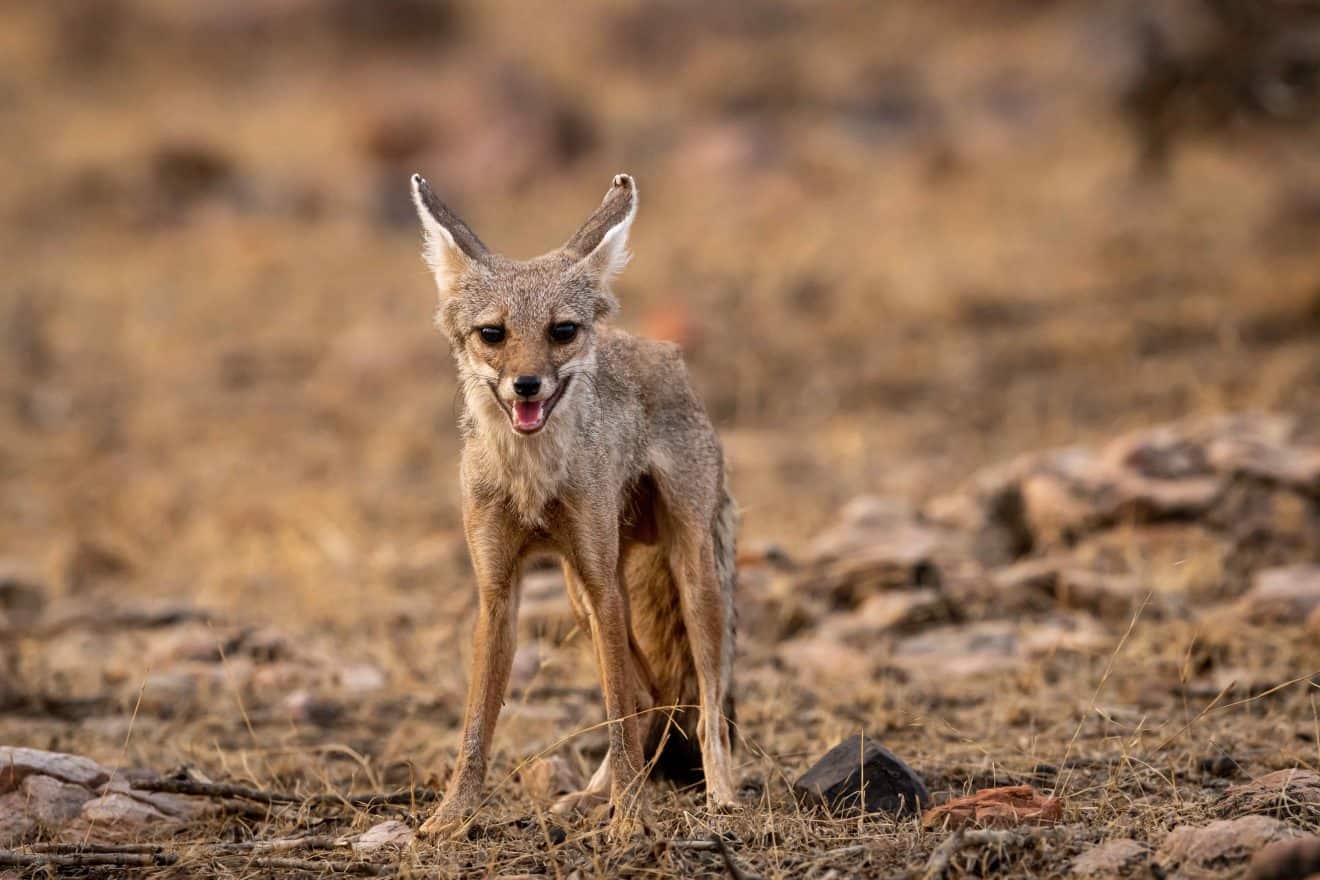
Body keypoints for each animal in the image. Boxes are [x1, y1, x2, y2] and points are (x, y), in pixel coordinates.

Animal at [408, 172, 738, 838]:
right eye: (493, 334)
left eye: (562, 331)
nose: (526, 386)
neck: (531, 479)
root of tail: (662, 350)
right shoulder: (498, 591)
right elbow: (477, 727)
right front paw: (452, 816)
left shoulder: (603, 583)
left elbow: (617, 714)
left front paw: (631, 820)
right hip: (575, 593)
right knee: (647, 695)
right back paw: (590, 797)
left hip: (687, 580)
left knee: (704, 704)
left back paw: (718, 796)